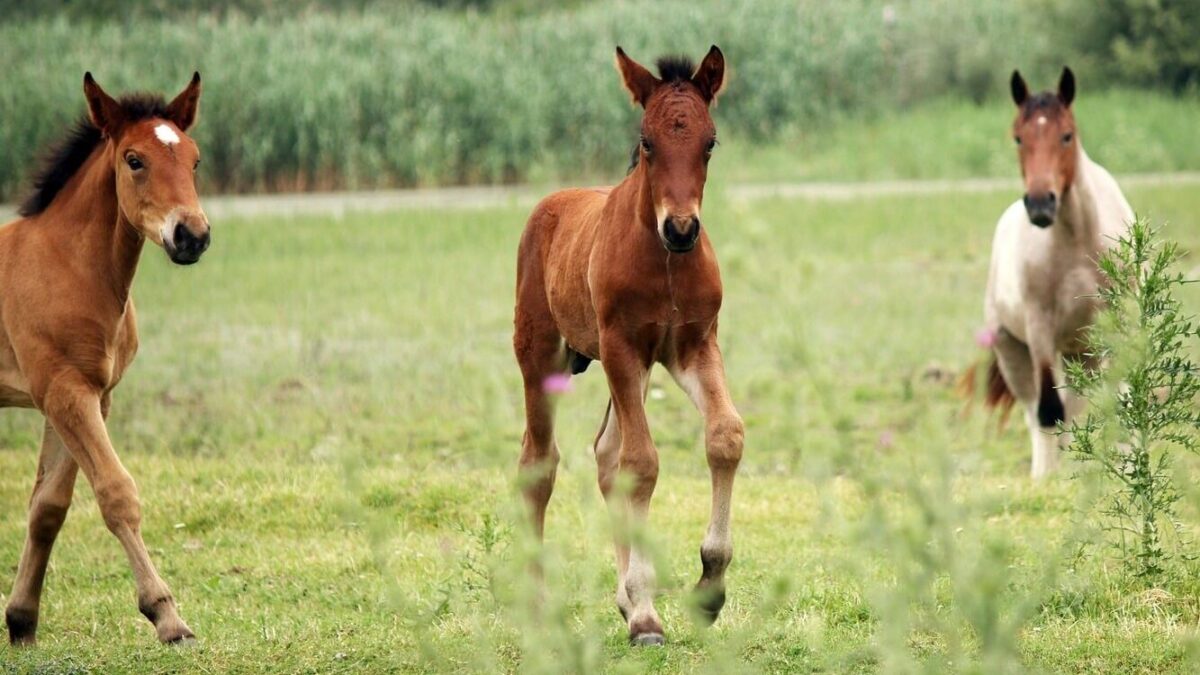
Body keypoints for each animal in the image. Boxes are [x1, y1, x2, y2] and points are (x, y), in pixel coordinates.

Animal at [2, 73, 210, 645]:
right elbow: (117, 493)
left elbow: (48, 507)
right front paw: (167, 616)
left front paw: (21, 620)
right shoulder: (64, 391)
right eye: (134, 160)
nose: (192, 236)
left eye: (195, 160)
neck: (68, 265)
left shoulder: (89, 395)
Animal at [512, 45, 743, 646]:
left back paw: (621, 599)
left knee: (604, 451)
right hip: (542, 355)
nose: (682, 228)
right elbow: (641, 461)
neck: (664, 263)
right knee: (540, 460)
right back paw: (539, 604)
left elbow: (725, 436)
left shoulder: (692, 346)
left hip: (632, 372)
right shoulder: (620, 345)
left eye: (710, 142)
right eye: (646, 142)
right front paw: (646, 613)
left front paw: (709, 586)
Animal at [978, 67, 1133, 478]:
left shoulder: (1114, 328)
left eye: (1066, 136)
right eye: (1019, 137)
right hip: (1013, 351)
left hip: (1084, 352)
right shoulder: (1039, 330)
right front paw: (1051, 482)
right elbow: (1049, 411)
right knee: (1036, 412)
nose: (1039, 204)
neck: (1077, 240)